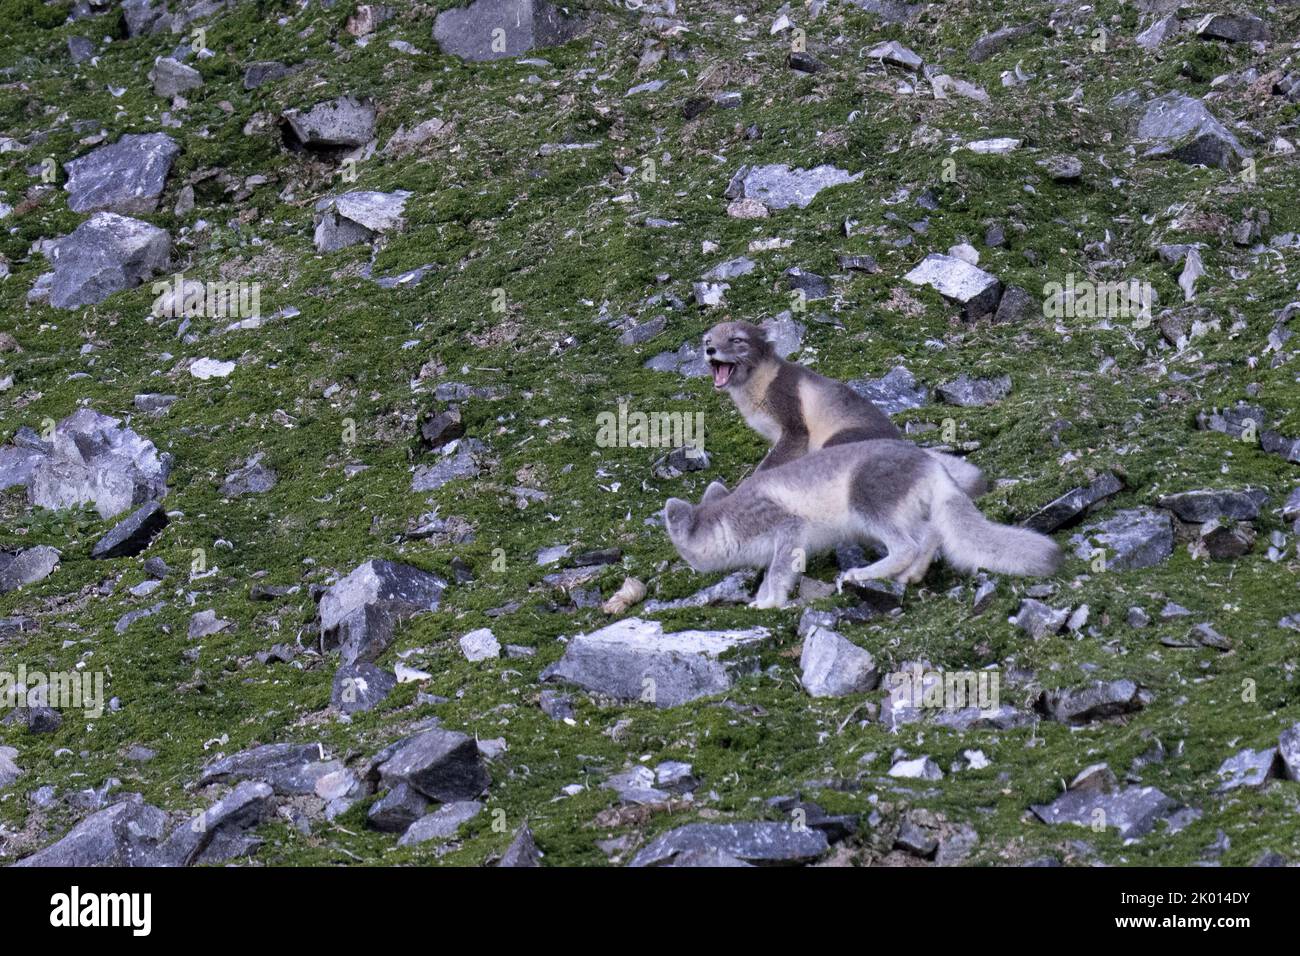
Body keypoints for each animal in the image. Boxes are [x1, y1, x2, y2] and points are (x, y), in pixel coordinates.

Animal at [663, 440, 1059, 609]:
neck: (729, 519)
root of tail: (933, 464)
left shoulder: (786, 528)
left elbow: (777, 572)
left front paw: (769, 601)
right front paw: (759, 598)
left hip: (866, 503)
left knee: (906, 546)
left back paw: (861, 575)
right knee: (929, 535)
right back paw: (909, 576)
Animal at [702, 320, 988, 496]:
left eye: (737, 339)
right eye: (708, 339)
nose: (710, 349)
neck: (759, 383)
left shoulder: (794, 427)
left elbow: (766, 467)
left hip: (838, 442)